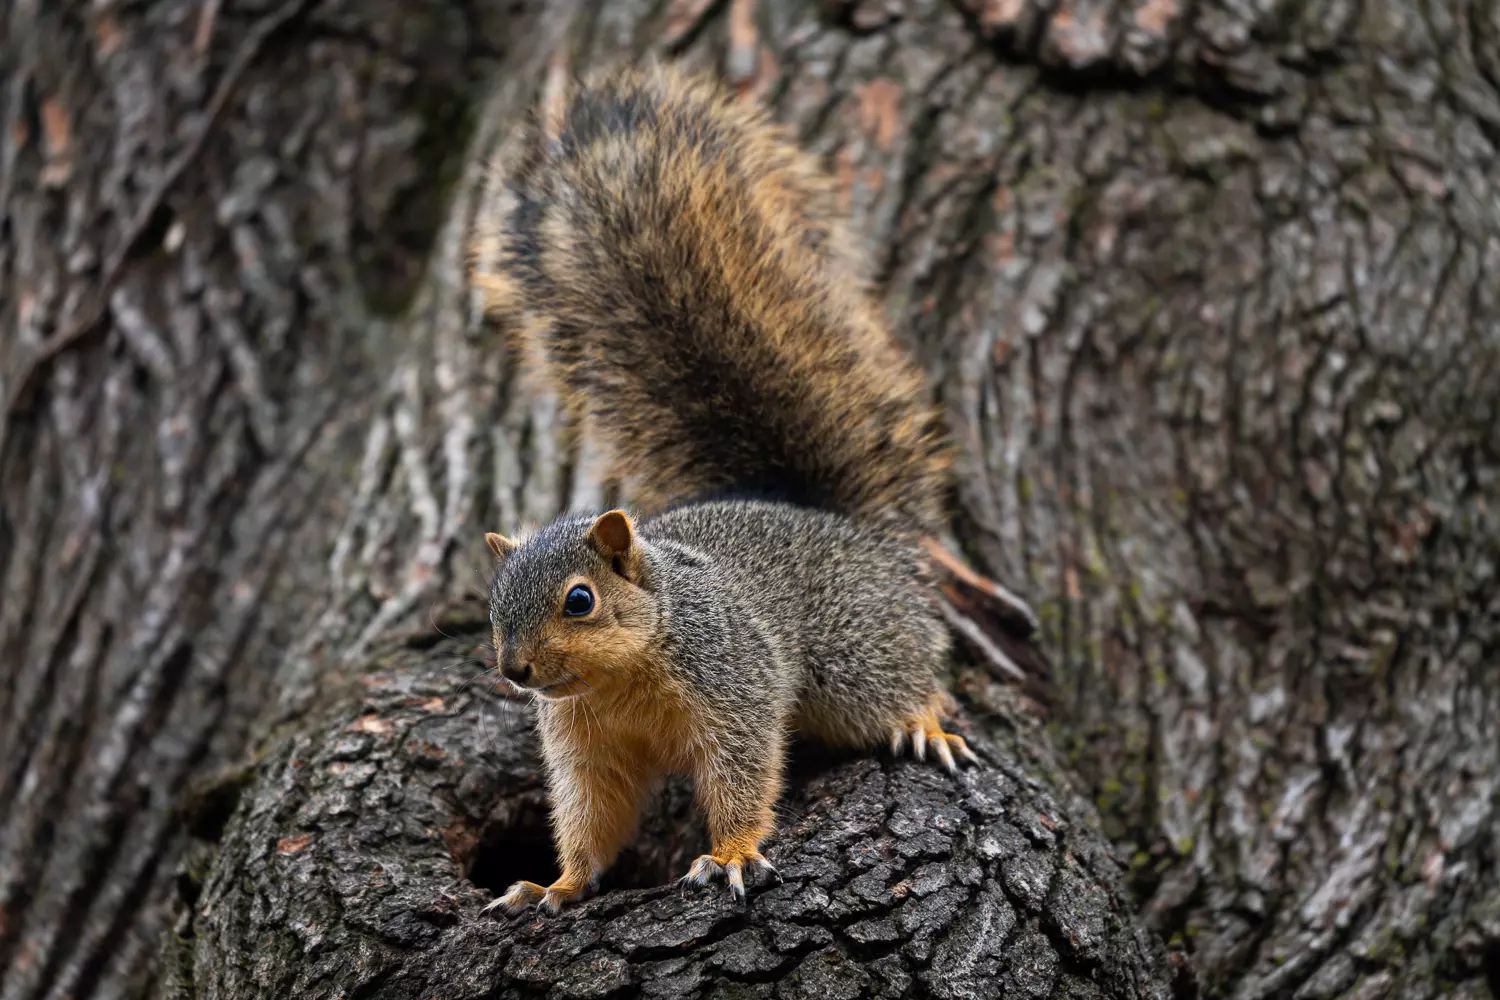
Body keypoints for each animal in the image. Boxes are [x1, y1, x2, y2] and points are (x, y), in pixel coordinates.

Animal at [474, 62, 978, 917]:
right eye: (493, 603)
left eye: (580, 600)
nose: (515, 671)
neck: (617, 681)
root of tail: (835, 522)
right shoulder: (587, 747)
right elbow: (592, 815)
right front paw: (558, 883)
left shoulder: (734, 689)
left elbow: (743, 775)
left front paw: (734, 853)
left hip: (852, 652)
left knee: (899, 681)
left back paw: (922, 721)